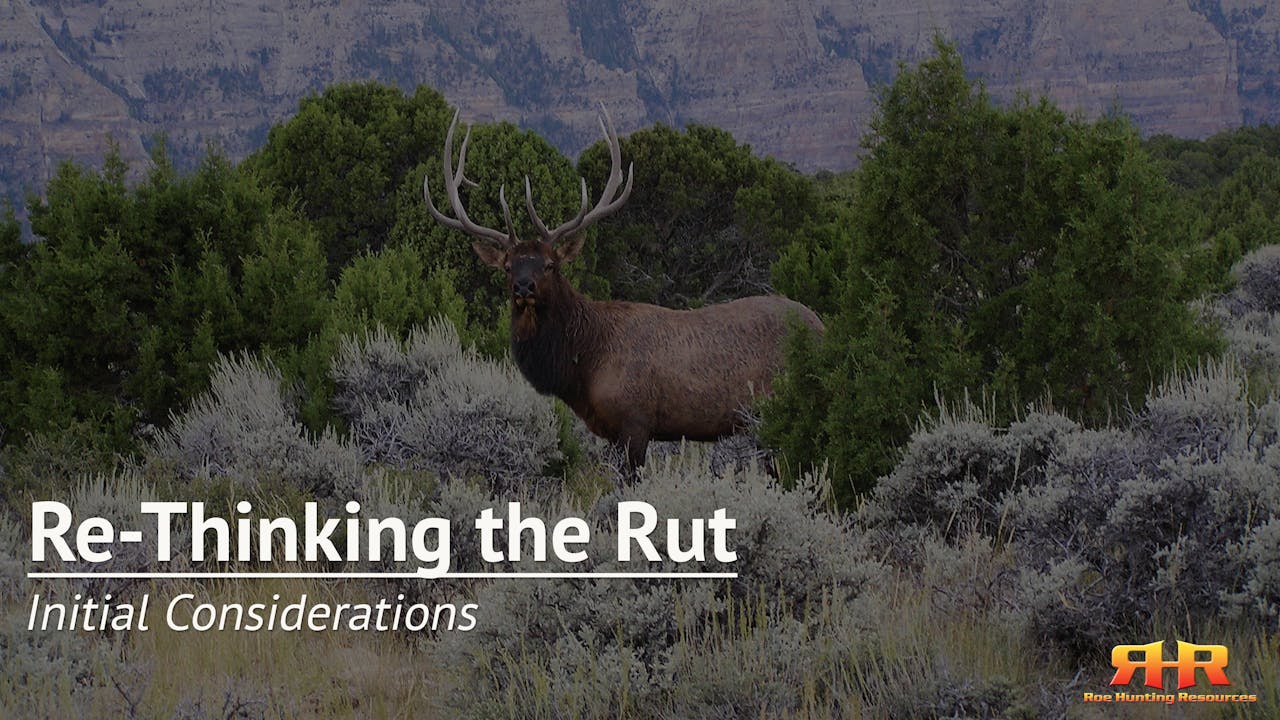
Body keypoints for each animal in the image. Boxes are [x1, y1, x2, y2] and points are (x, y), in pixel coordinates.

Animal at [423, 105, 824, 469]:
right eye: (508, 266)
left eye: (551, 264)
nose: (524, 287)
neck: (584, 364)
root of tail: (822, 325)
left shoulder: (635, 420)